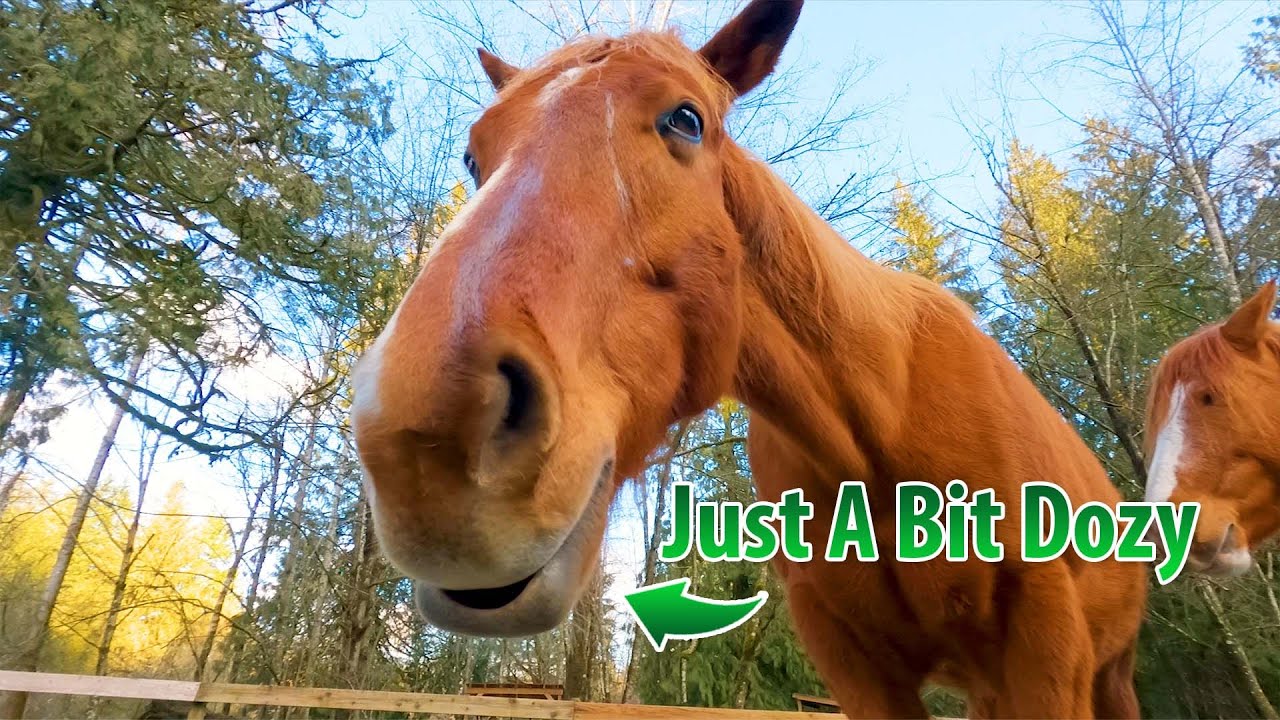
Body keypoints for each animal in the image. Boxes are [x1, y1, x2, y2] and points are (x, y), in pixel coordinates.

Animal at [349, 2, 1145, 716]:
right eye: (473, 156)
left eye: (686, 119)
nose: (426, 445)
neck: (876, 439)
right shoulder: (850, 660)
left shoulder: (1044, 647)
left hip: (1106, 675)